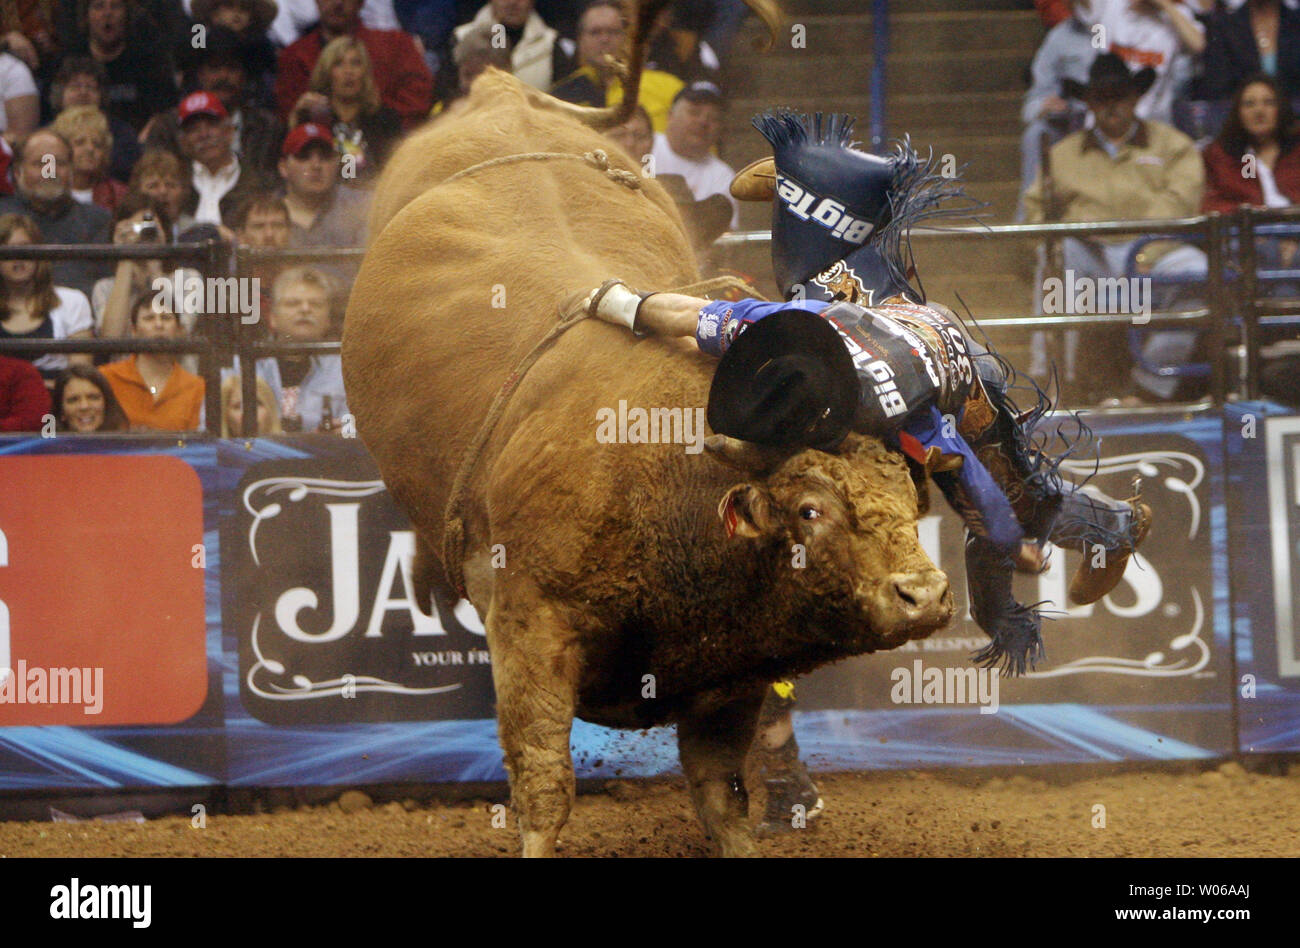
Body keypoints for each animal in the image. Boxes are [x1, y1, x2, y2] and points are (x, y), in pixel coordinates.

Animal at [342, 0, 953, 857]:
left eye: (908, 498)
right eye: (811, 509)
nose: (923, 594)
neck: (664, 483)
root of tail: (503, 93)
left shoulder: (727, 677)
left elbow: (723, 796)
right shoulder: (528, 629)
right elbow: (545, 787)